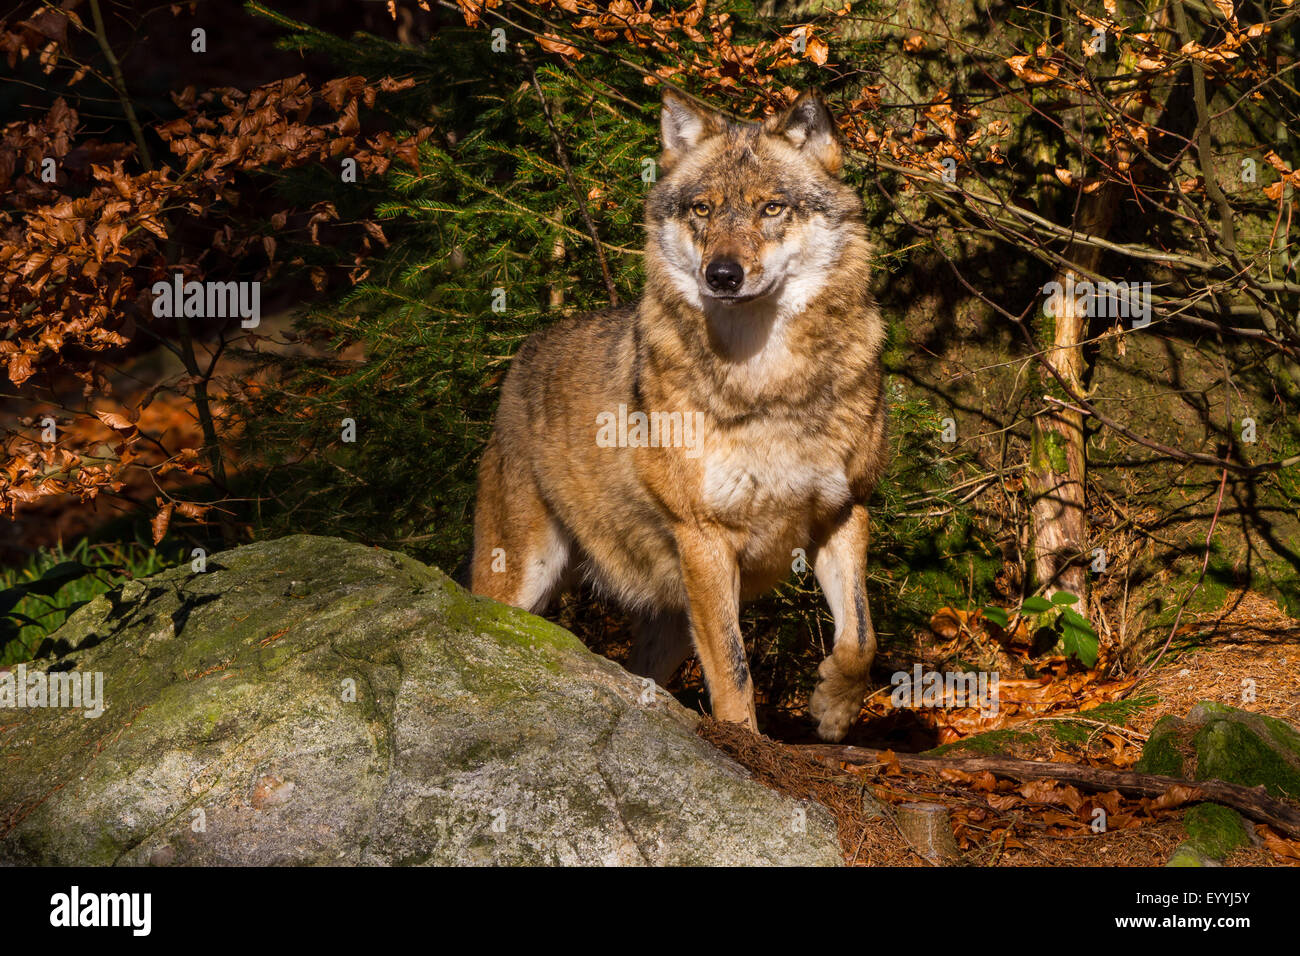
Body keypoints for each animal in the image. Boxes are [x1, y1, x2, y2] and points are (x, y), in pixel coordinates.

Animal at [470, 88, 889, 742]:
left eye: (772, 208)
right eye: (702, 209)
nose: (722, 274)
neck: (766, 383)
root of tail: (523, 356)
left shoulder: (844, 511)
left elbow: (861, 640)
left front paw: (834, 707)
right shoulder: (705, 535)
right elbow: (735, 671)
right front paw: (747, 745)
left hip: (668, 625)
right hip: (521, 577)